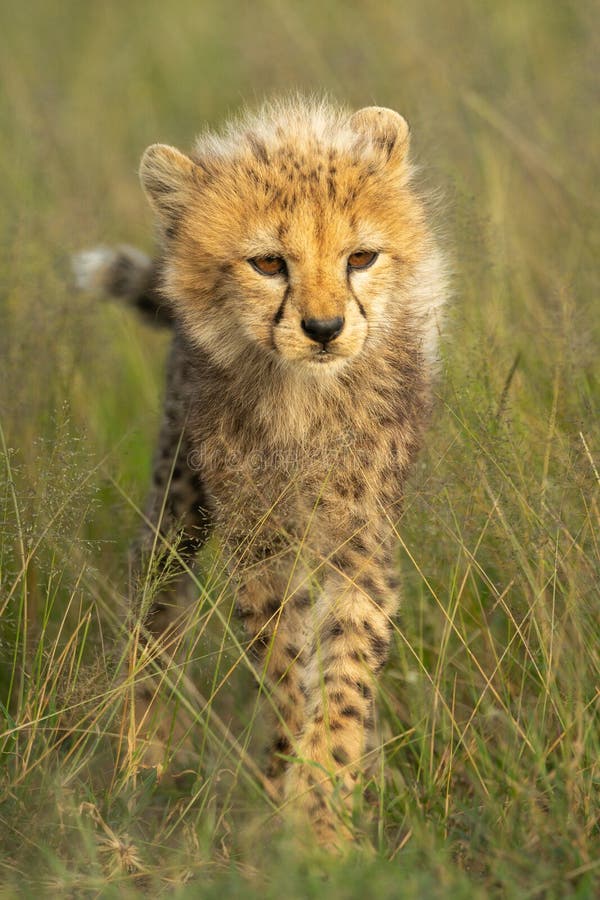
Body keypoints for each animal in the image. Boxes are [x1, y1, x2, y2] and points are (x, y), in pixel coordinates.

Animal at [74, 97, 448, 848]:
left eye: (361, 257)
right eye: (269, 263)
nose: (325, 329)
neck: (304, 397)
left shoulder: (358, 545)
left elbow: (344, 677)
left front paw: (324, 820)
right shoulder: (262, 545)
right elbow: (285, 674)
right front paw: (293, 794)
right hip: (177, 497)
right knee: (153, 610)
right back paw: (137, 761)